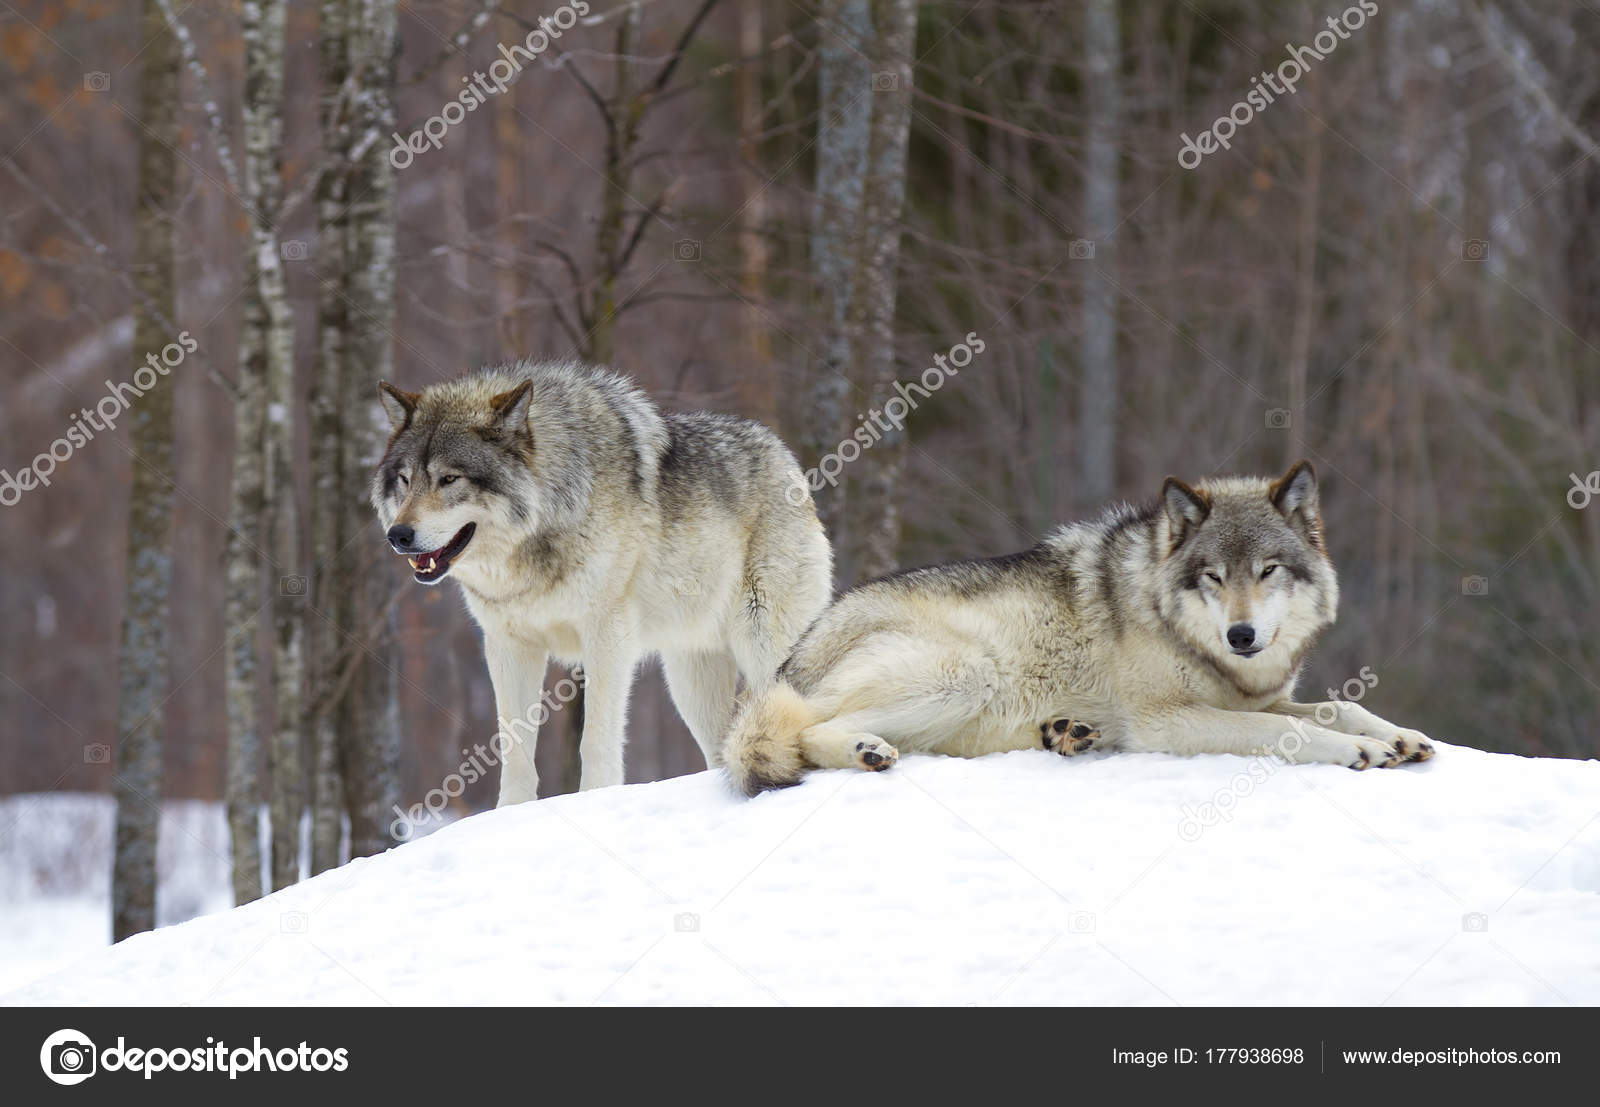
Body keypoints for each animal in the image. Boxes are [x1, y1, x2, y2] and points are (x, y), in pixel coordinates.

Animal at [372, 359, 833, 804]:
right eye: (406, 480)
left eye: (450, 479)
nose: (398, 536)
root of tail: (784, 456)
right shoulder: (507, 645)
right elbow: (514, 750)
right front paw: (510, 813)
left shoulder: (608, 635)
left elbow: (595, 739)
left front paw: (595, 798)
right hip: (689, 682)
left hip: (763, 646)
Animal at [724, 460, 1434, 795]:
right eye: (1212, 576)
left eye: (1267, 571)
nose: (1242, 636)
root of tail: (794, 655)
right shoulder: (1168, 722)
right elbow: (1292, 731)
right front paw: (1359, 752)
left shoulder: (1259, 696)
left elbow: (1337, 708)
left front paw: (1401, 736)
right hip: (965, 673)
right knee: (807, 734)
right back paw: (866, 751)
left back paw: (1065, 734)